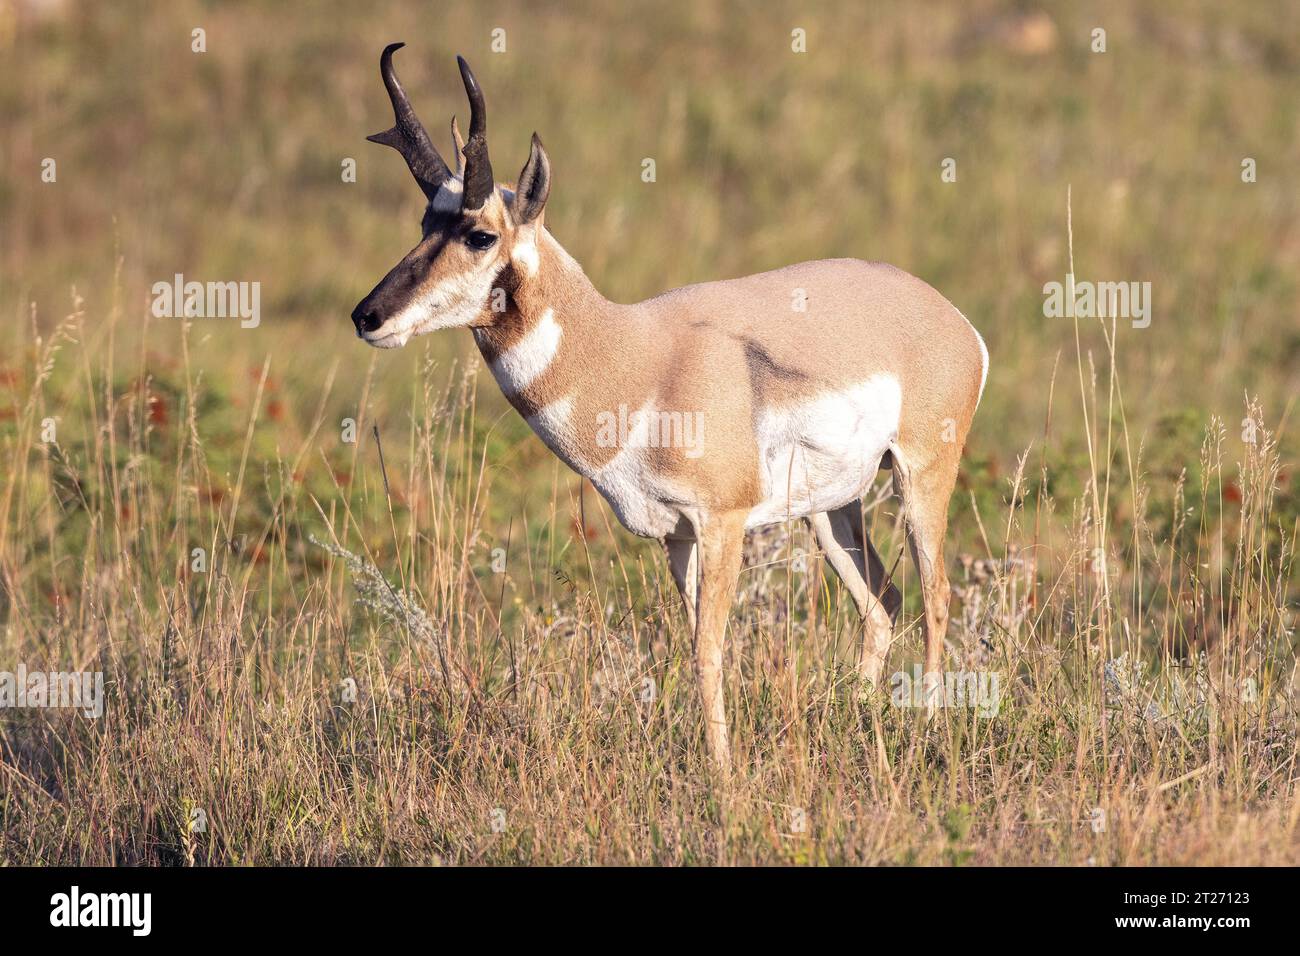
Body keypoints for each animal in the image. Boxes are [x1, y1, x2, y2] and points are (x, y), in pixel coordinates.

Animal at [351, 45, 989, 772]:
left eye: (481, 234)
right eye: (425, 222)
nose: (367, 316)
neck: (636, 355)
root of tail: (950, 317)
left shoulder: (722, 524)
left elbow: (710, 652)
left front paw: (724, 778)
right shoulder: (675, 537)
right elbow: (690, 650)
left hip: (920, 476)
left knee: (936, 597)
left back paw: (928, 732)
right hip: (830, 511)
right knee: (884, 601)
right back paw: (858, 721)